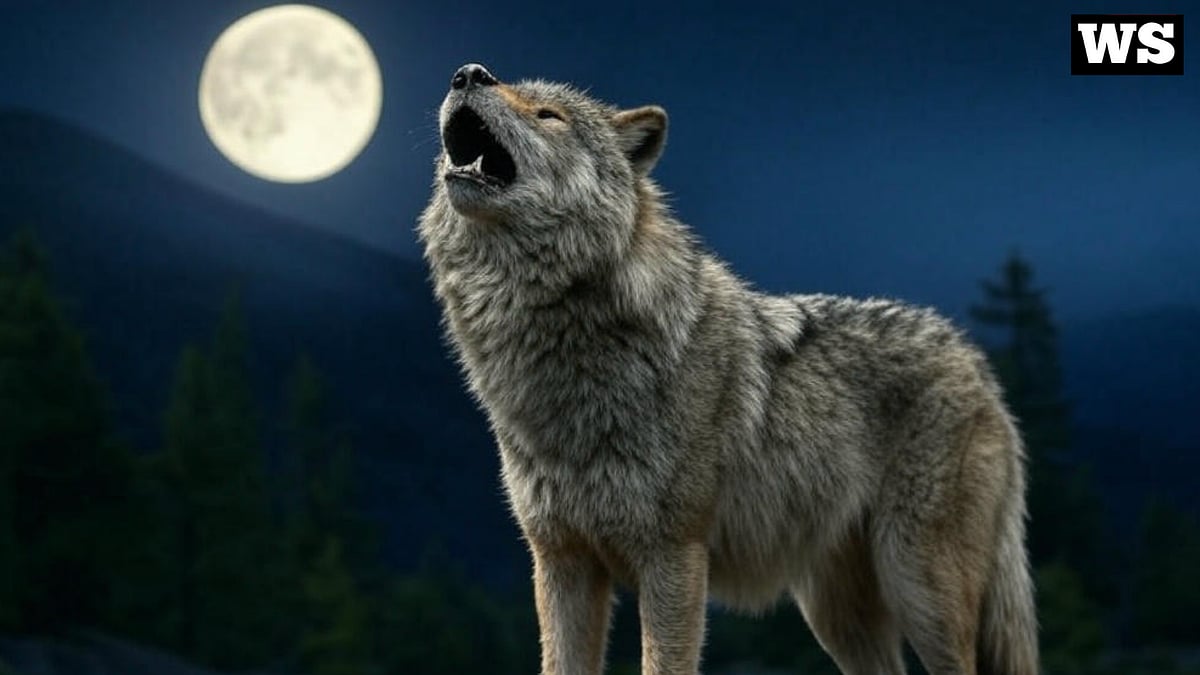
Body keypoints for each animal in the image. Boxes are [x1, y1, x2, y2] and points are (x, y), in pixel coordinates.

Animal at [417, 63, 1038, 675]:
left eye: (549, 115)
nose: (468, 73)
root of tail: (973, 358)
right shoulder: (561, 561)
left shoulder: (673, 555)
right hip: (839, 618)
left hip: (919, 589)